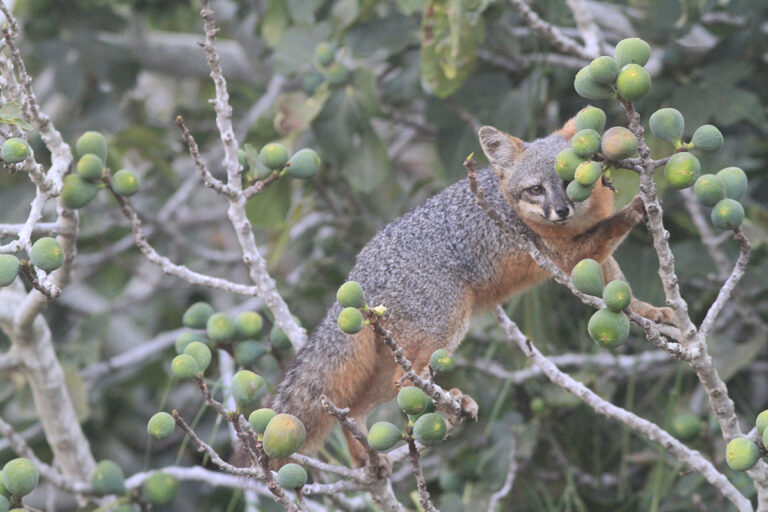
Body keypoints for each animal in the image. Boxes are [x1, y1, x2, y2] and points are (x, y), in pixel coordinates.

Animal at [271, 117, 674, 467]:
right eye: (536, 189)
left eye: (569, 180)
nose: (560, 210)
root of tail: (359, 271)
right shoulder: (563, 256)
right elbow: (610, 229)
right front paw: (635, 207)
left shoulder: (590, 259)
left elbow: (616, 286)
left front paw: (647, 310)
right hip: (444, 326)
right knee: (407, 382)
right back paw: (448, 403)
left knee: (356, 409)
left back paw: (371, 462)